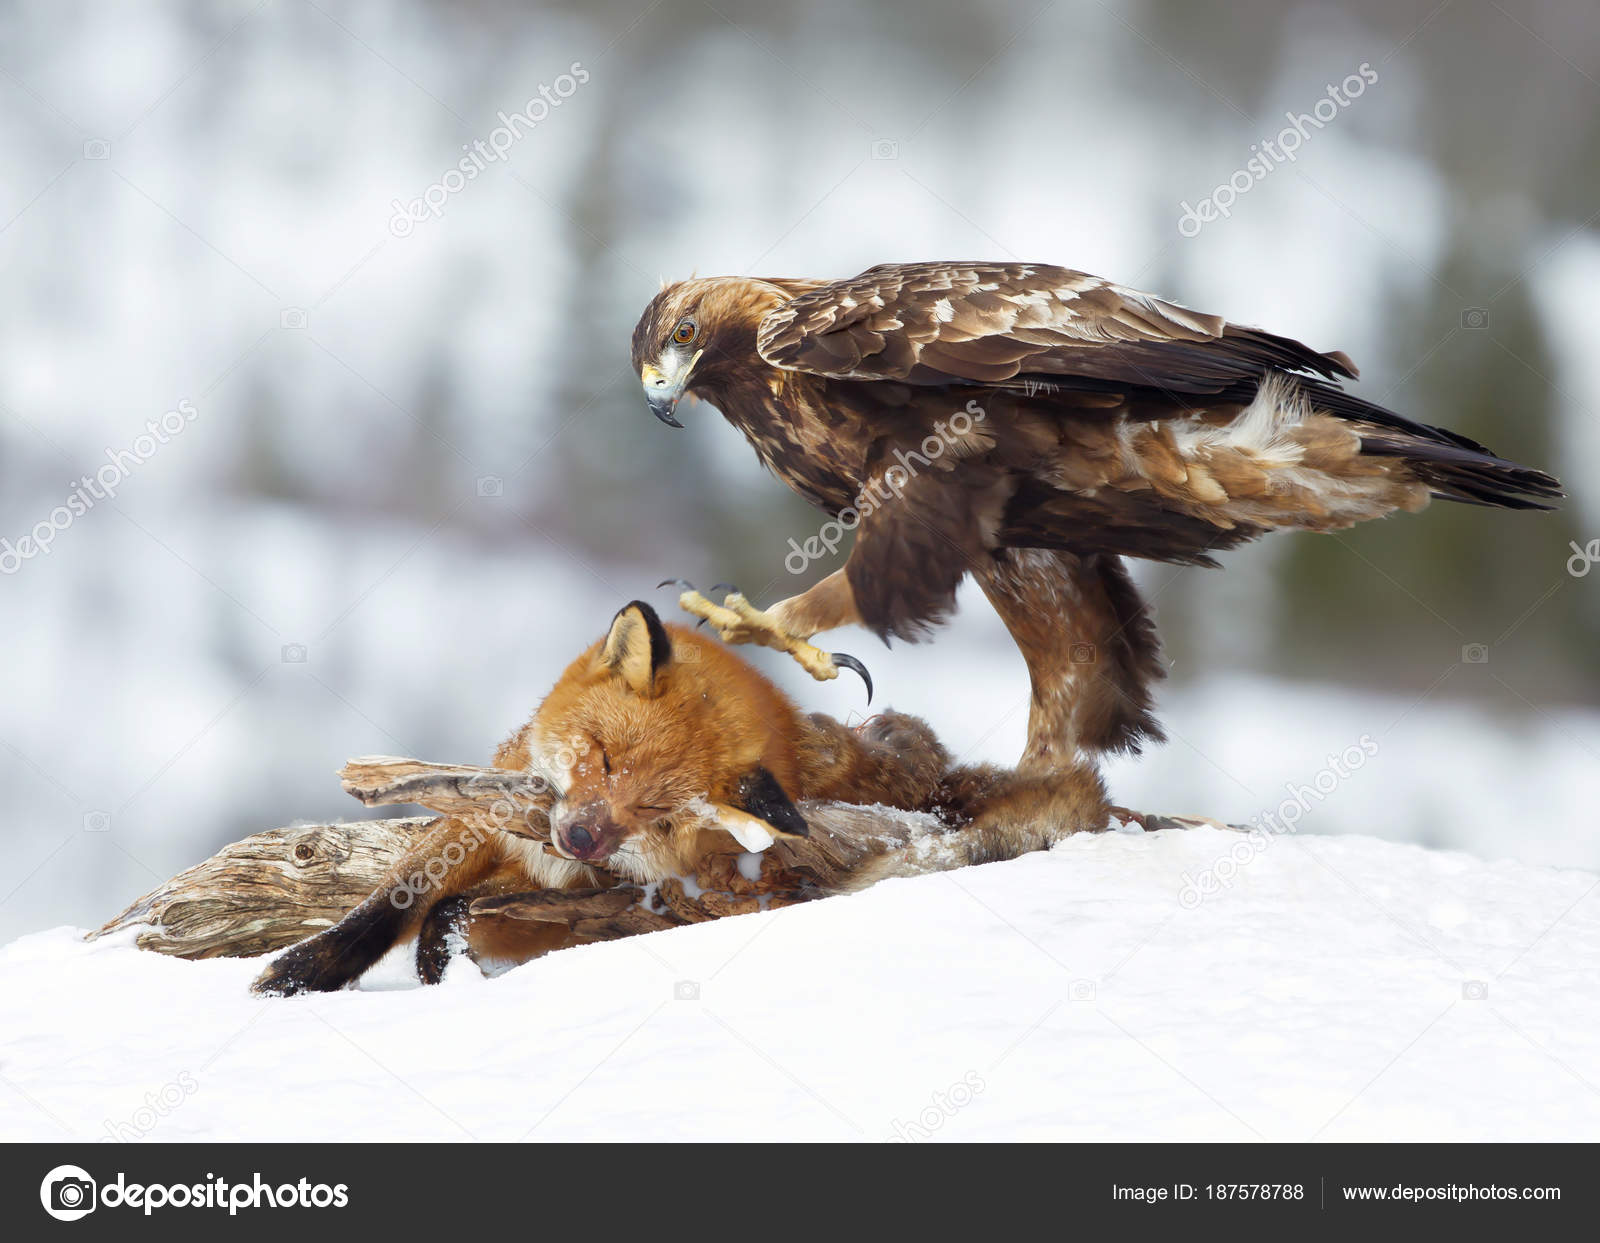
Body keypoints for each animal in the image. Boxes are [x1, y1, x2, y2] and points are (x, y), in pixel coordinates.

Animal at [251, 600, 1111, 996]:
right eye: (602, 757)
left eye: (657, 812)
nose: (581, 838)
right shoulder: (488, 823)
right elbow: (390, 901)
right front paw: (298, 972)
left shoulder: (609, 896)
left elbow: (459, 915)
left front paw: (441, 956)